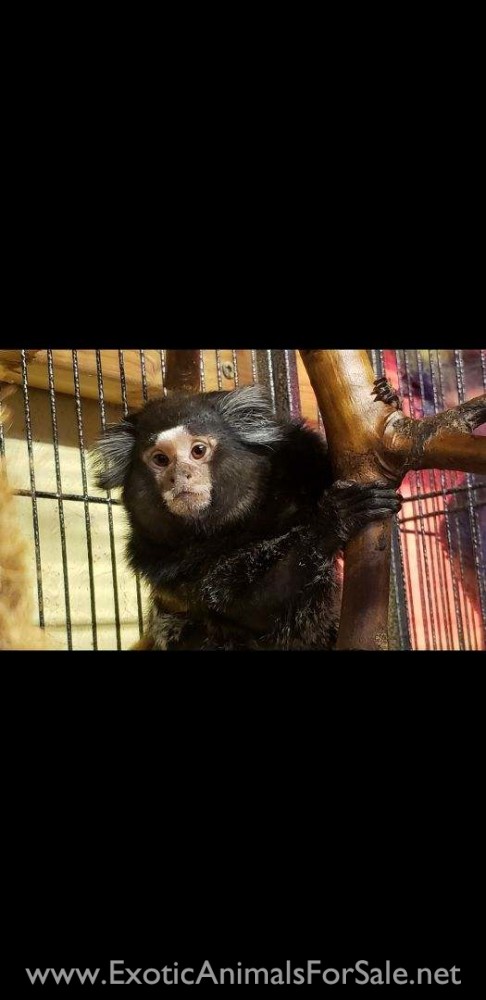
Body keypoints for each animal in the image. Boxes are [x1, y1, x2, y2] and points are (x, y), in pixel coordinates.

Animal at [92, 385, 401, 650]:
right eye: (160, 460)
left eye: (198, 450)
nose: (178, 476)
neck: (242, 524)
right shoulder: (164, 565)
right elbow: (250, 608)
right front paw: (332, 522)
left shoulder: (300, 455)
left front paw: (390, 398)